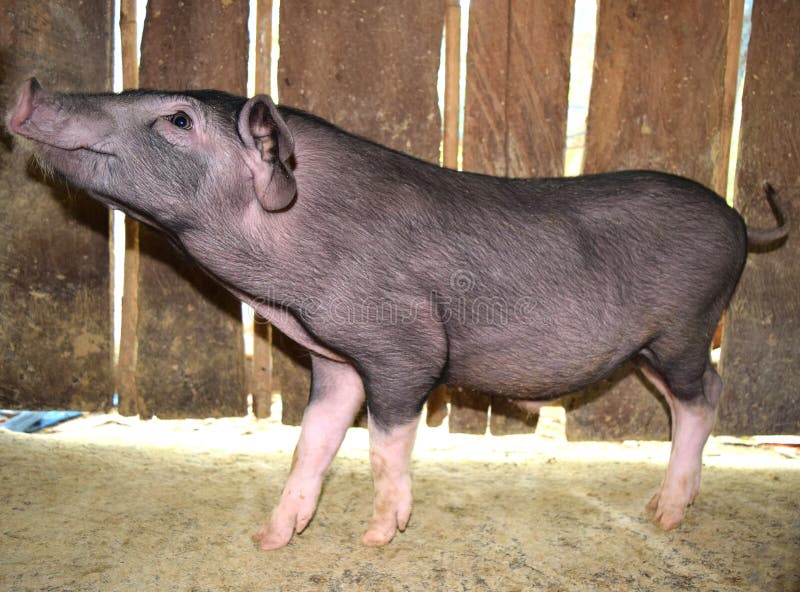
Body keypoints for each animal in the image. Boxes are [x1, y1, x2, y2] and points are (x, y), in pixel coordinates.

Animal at [6, 78, 789, 549]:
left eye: (176, 119)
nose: (28, 90)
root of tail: (739, 222)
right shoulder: (336, 360)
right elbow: (312, 443)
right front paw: (271, 538)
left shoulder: (402, 345)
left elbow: (385, 443)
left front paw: (377, 537)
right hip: (647, 350)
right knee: (694, 398)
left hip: (686, 328)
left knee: (705, 398)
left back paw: (666, 515)